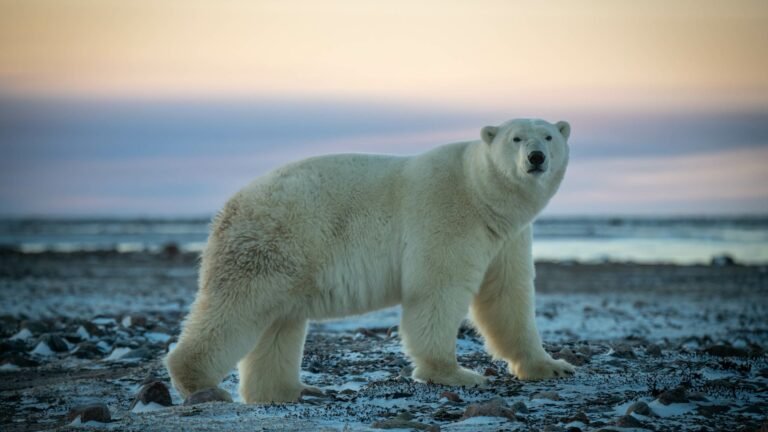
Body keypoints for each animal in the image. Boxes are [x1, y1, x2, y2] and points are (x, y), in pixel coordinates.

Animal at [166, 118, 575, 404]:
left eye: (549, 137)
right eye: (516, 138)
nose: (536, 158)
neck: (480, 193)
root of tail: (229, 207)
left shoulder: (507, 237)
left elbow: (507, 296)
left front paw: (551, 366)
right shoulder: (446, 216)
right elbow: (437, 290)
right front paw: (455, 373)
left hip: (287, 260)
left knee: (279, 323)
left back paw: (288, 390)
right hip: (273, 242)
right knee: (237, 308)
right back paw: (201, 383)